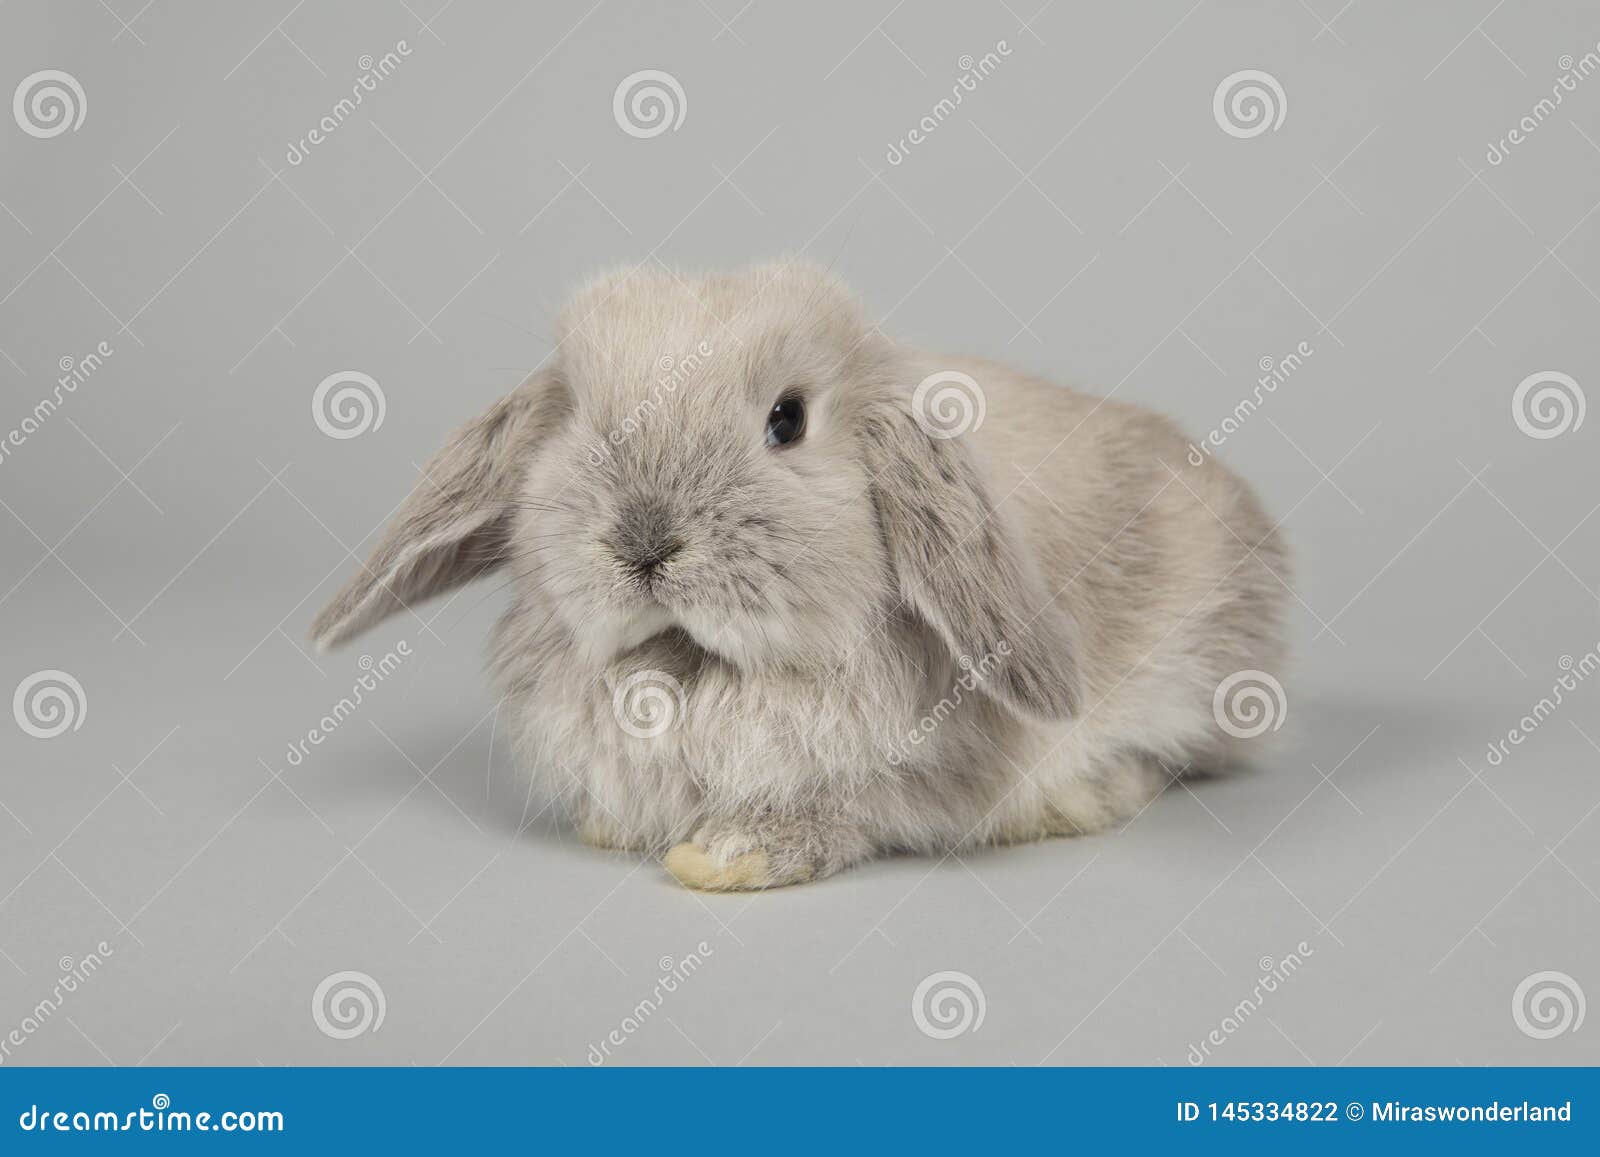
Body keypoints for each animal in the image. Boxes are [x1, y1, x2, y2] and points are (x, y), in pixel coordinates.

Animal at [311, 259, 1290, 891]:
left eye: (787, 420)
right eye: (579, 415)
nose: (643, 542)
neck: (690, 667)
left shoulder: (917, 773)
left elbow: (857, 810)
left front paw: (727, 854)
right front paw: (611, 826)